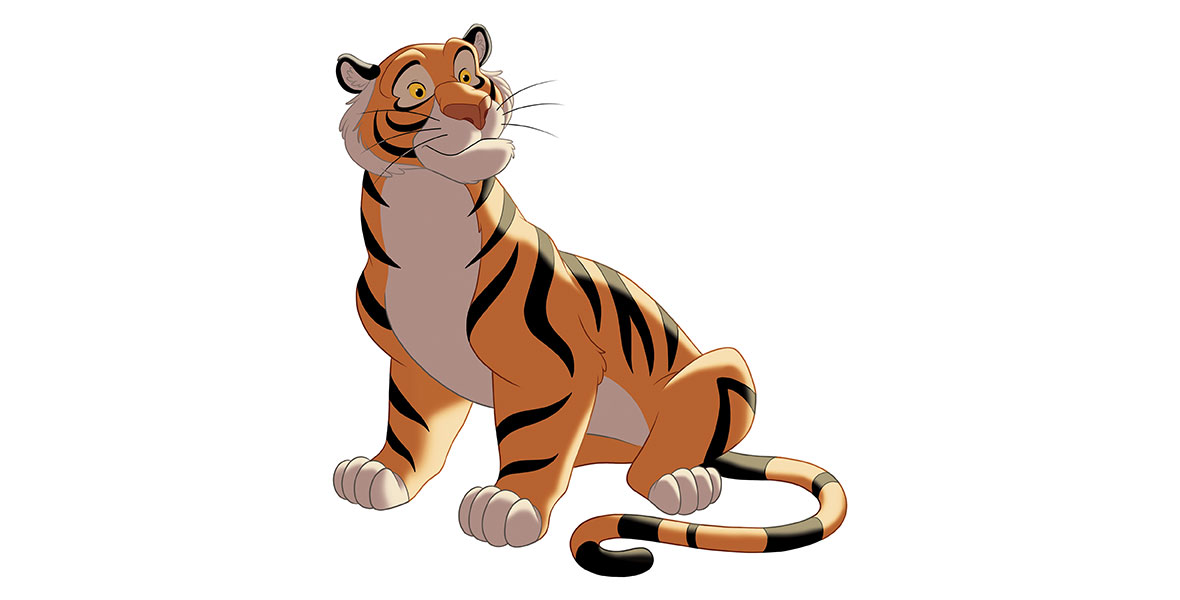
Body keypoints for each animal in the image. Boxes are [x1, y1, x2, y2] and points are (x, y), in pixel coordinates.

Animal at [332, 24, 847, 576]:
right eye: (416, 90)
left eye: (470, 76)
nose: (476, 107)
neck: (427, 221)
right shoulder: (419, 367)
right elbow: (412, 429)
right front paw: (381, 473)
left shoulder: (550, 370)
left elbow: (533, 443)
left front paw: (509, 503)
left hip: (723, 369)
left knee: (650, 465)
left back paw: (683, 480)